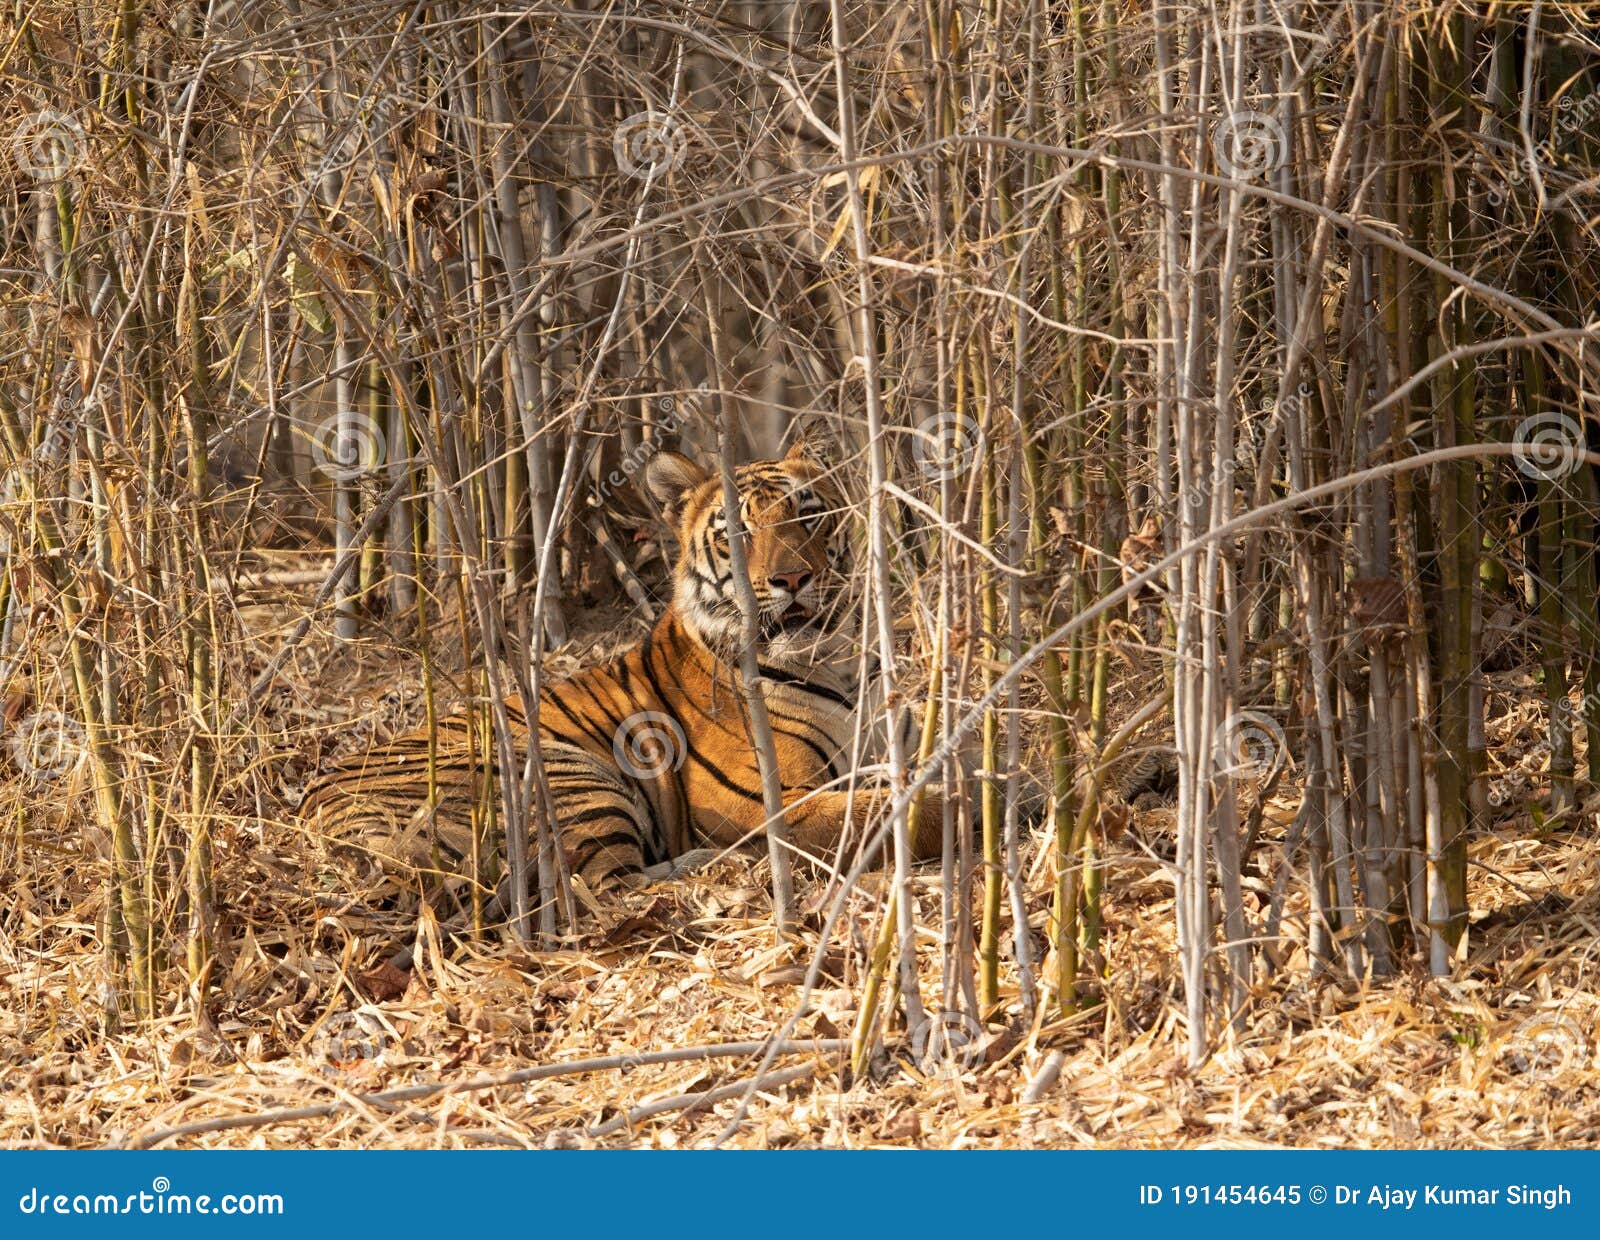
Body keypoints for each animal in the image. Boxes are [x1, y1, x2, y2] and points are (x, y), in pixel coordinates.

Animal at [300, 440, 944, 902]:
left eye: (811, 517)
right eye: (737, 534)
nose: (792, 578)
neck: (836, 662)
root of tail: (313, 821)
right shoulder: (779, 800)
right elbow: (904, 811)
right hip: (569, 773)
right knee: (600, 888)